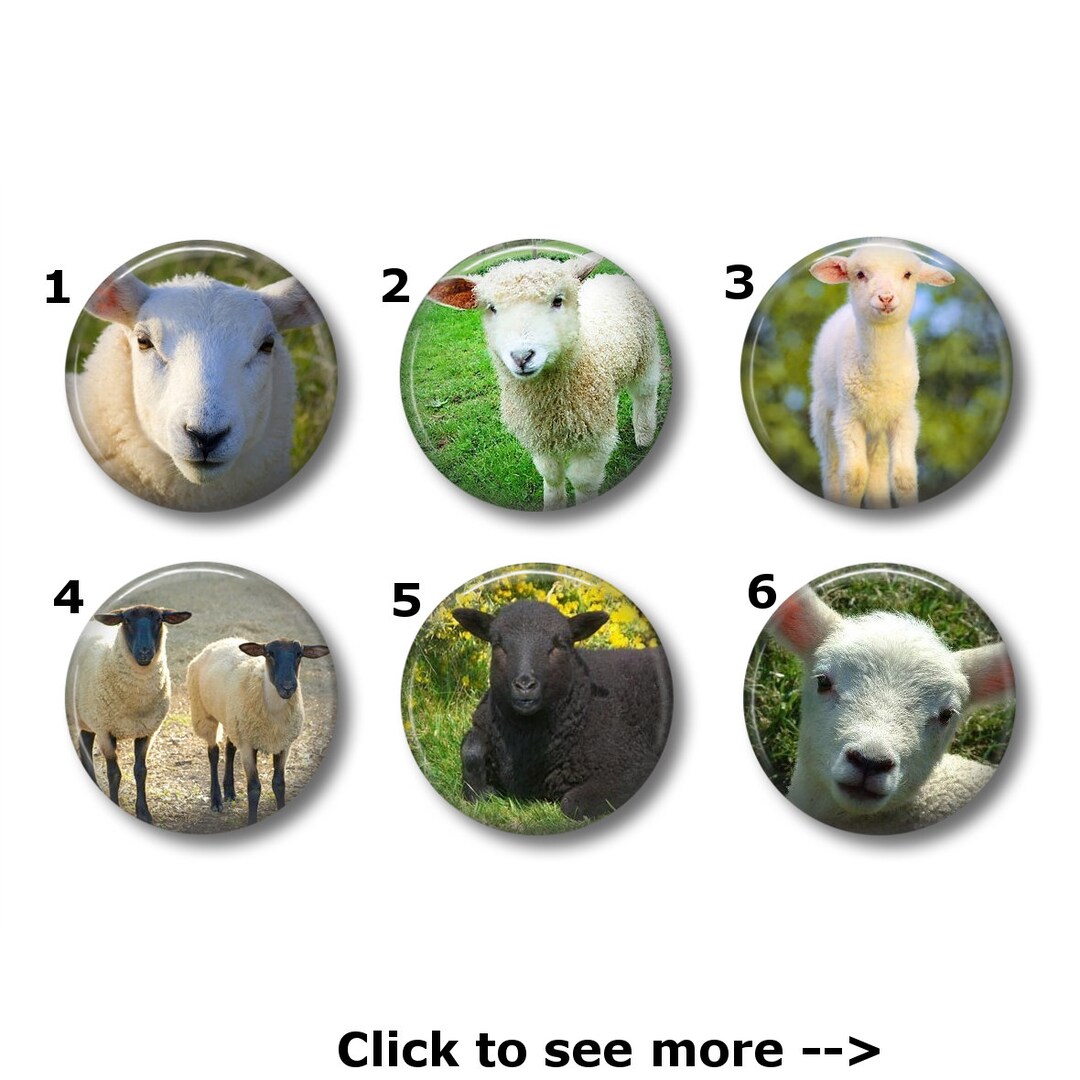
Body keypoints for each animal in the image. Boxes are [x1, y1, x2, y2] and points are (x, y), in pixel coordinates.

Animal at [71, 605, 192, 824]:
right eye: (126, 620)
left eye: (159, 620)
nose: (144, 651)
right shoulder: (105, 730)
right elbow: (114, 773)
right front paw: (114, 802)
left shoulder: (147, 732)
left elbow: (140, 771)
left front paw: (144, 812)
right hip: (92, 717)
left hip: (88, 717)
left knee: (84, 743)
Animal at [188, 638, 330, 824]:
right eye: (269, 654)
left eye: (299, 654)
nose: (288, 687)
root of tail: (220, 641)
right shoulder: (248, 746)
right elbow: (254, 788)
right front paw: (251, 820)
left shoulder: (283, 744)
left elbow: (279, 784)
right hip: (204, 714)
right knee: (213, 753)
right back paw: (216, 800)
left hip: (233, 720)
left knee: (230, 748)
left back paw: (230, 791)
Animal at [428, 252, 662, 509]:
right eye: (491, 308)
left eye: (557, 301)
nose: (522, 357)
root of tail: (615, 277)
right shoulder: (541, 438)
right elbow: (551, 477)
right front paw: (552, 505)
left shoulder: (595, 443)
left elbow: (583, 482)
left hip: (647, 354)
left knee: (645, 394)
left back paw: (644, 437)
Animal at [452, 601, 671, 820]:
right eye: (497, 645)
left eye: (560, 645)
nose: (525, 685)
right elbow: (470, 749)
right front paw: (481, 792)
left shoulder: (633, 765)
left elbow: (573, 804)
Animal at [808, 244, 954, 508]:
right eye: (860, 274)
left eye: (908, 274)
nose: (886, 298)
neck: (880, 377)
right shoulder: (848, 418)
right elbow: (854, 476)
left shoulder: (904, 417)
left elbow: (904, 476)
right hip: (823, 414)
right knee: (832, 468)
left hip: (878, 431)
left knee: (877, 472)